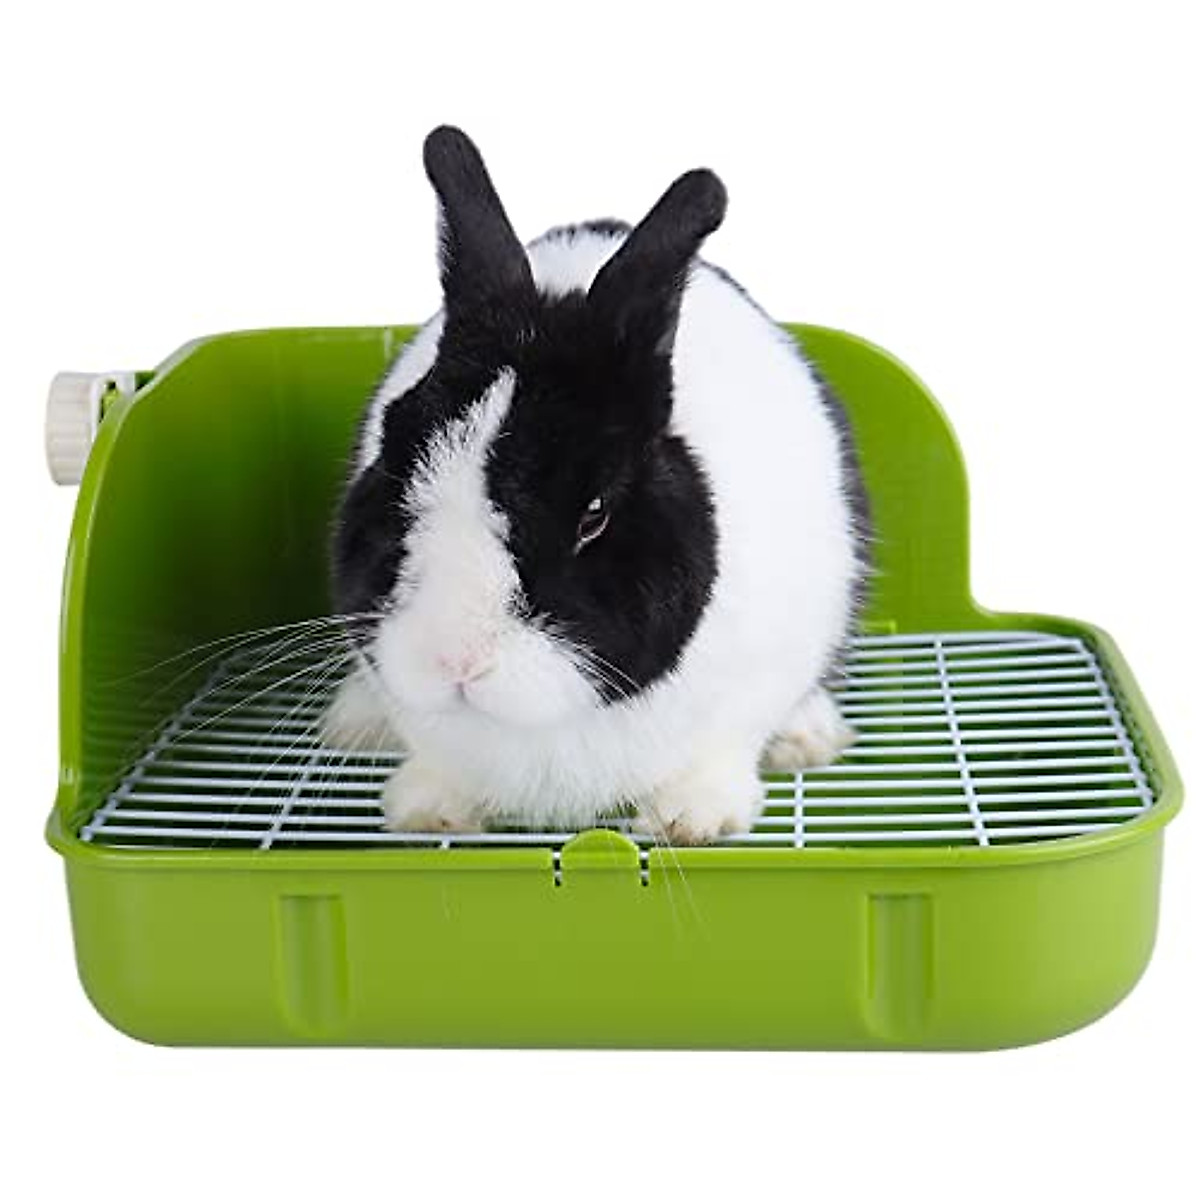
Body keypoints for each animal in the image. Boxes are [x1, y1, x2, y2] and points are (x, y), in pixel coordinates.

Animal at [324, 125, 870, 845]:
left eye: (593, 516)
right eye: (397, 466)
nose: (456, 660)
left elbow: (722, 753)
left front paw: (693, 821)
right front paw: (428, 810)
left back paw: (808, 742)